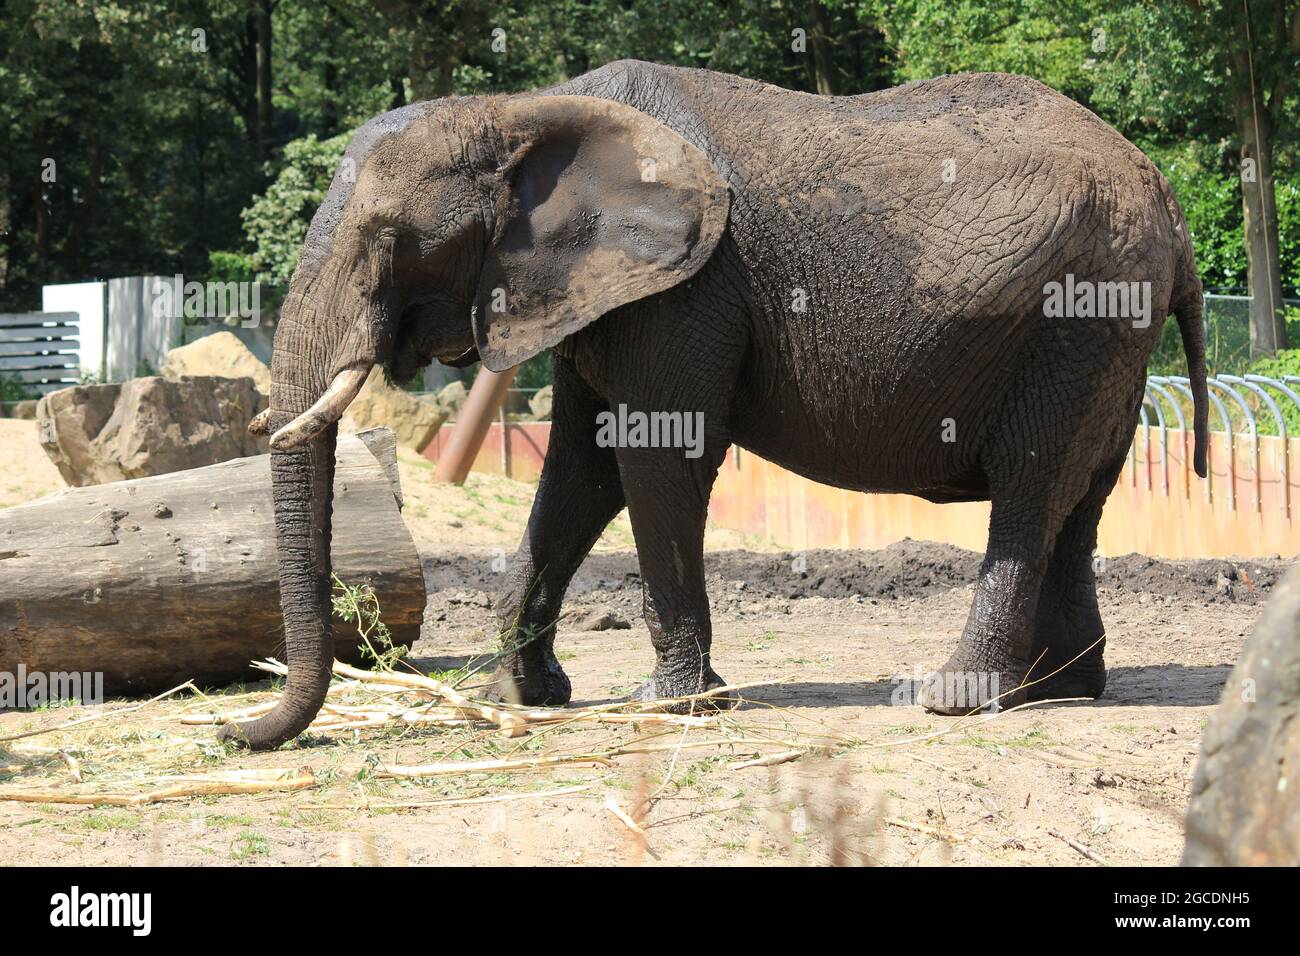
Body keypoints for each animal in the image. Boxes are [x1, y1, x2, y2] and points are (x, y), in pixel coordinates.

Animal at [219, 59, 1208, 750]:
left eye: (389, 241)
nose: (231, 729)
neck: (524, 109)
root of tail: (1165, 192)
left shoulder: (686, 293)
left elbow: (656, 459)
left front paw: (675, 704)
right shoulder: (604, 293)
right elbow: (579, 475)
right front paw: (523, 697)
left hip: (1080, 311)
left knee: (1032, 487)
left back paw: (958, 700)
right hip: (1106, 328)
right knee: (1082, 497)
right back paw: (1062, 689)